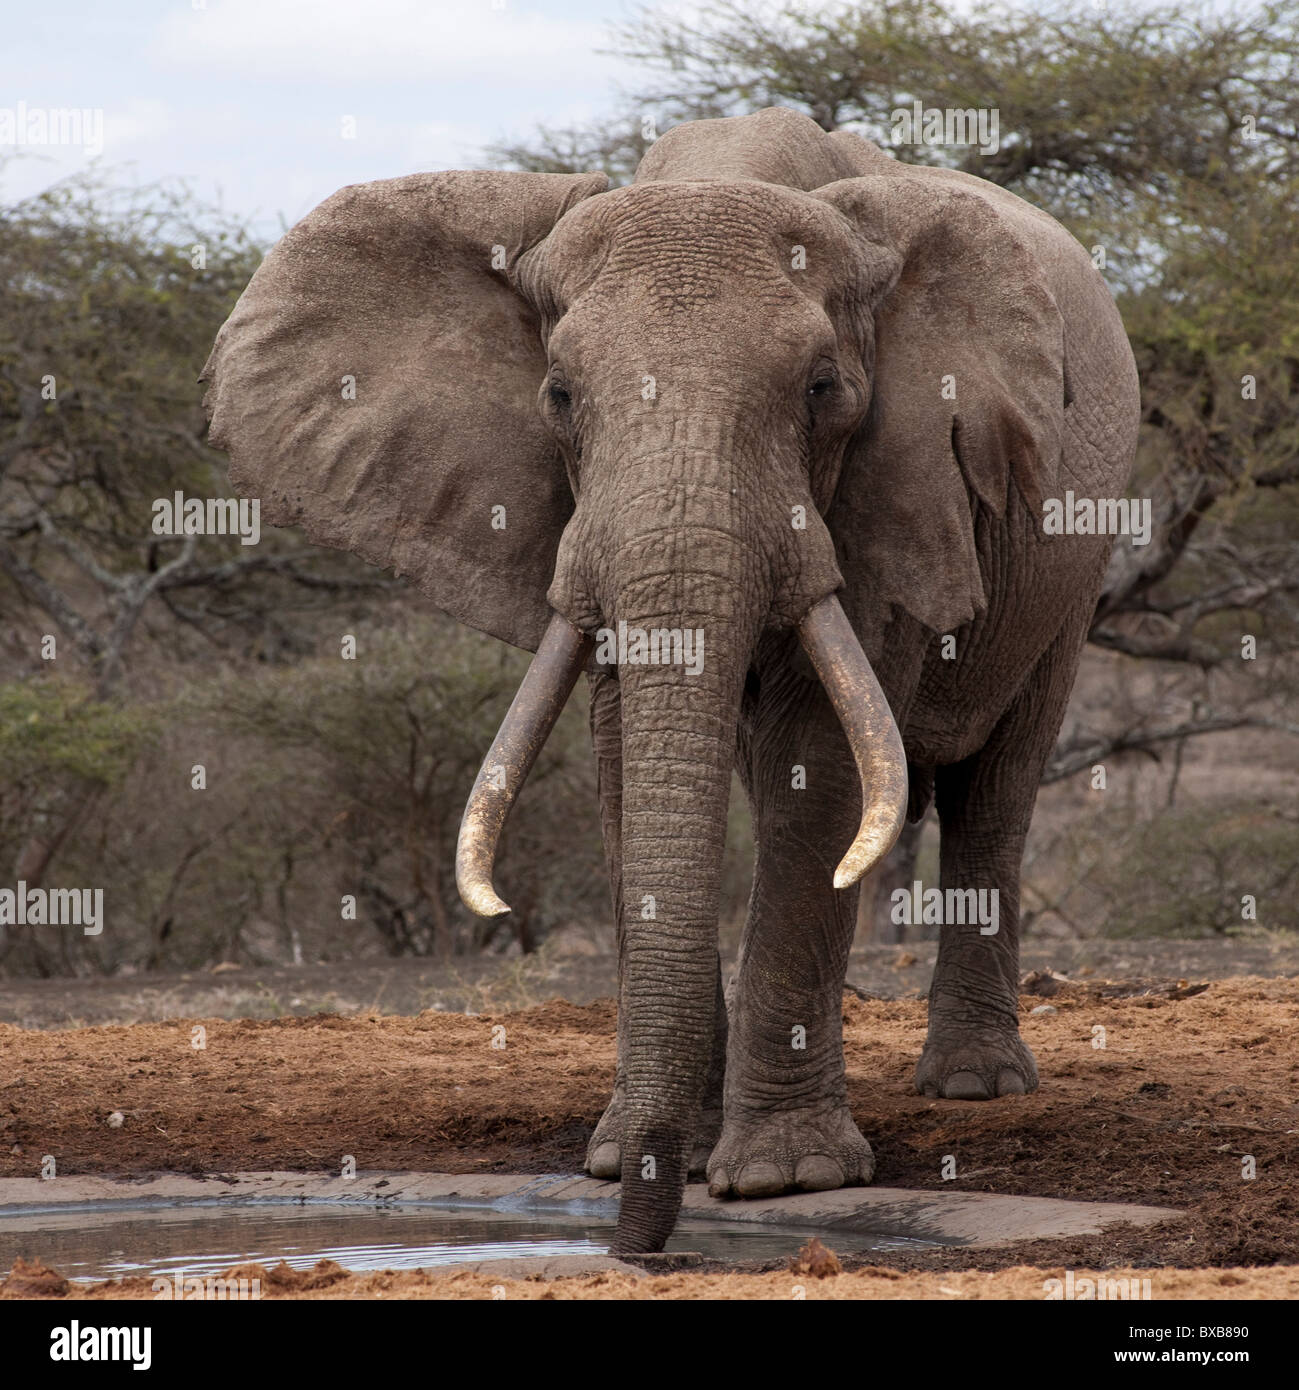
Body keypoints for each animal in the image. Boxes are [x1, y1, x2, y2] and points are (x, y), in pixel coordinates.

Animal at [202, 106, 1140, 1254]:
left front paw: (781, 1178)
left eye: (822, 390)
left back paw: (973, 1088)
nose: (632, 1246)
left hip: (1073, 564)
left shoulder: (896, 481)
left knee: (997, 785)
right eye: (559, 395)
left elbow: (818, 769)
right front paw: (644, 1158)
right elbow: (620, 759)